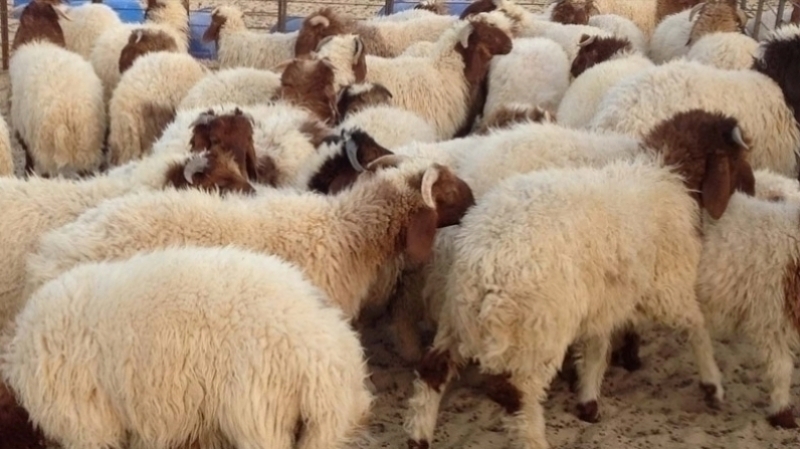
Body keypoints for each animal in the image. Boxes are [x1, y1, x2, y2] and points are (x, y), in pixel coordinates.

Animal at [10, 0, 106, 178]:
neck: (39, 37)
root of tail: (71, 111)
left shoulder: (23, 130)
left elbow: (28, 160)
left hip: (45, 152)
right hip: (89, 149)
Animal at [404, 110, 754, 449]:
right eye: (739, 158)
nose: (753, 189)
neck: (666, 174)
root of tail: (481, 267)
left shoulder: (605, 297)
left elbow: (597, 345)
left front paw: (588, 400)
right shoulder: (667, 288)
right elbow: (697, 326)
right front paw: (712, 386)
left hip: (457, 317)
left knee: (433, 369)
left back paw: (419, 436)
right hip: (537, 332)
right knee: (515, 394)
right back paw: (535, 441)